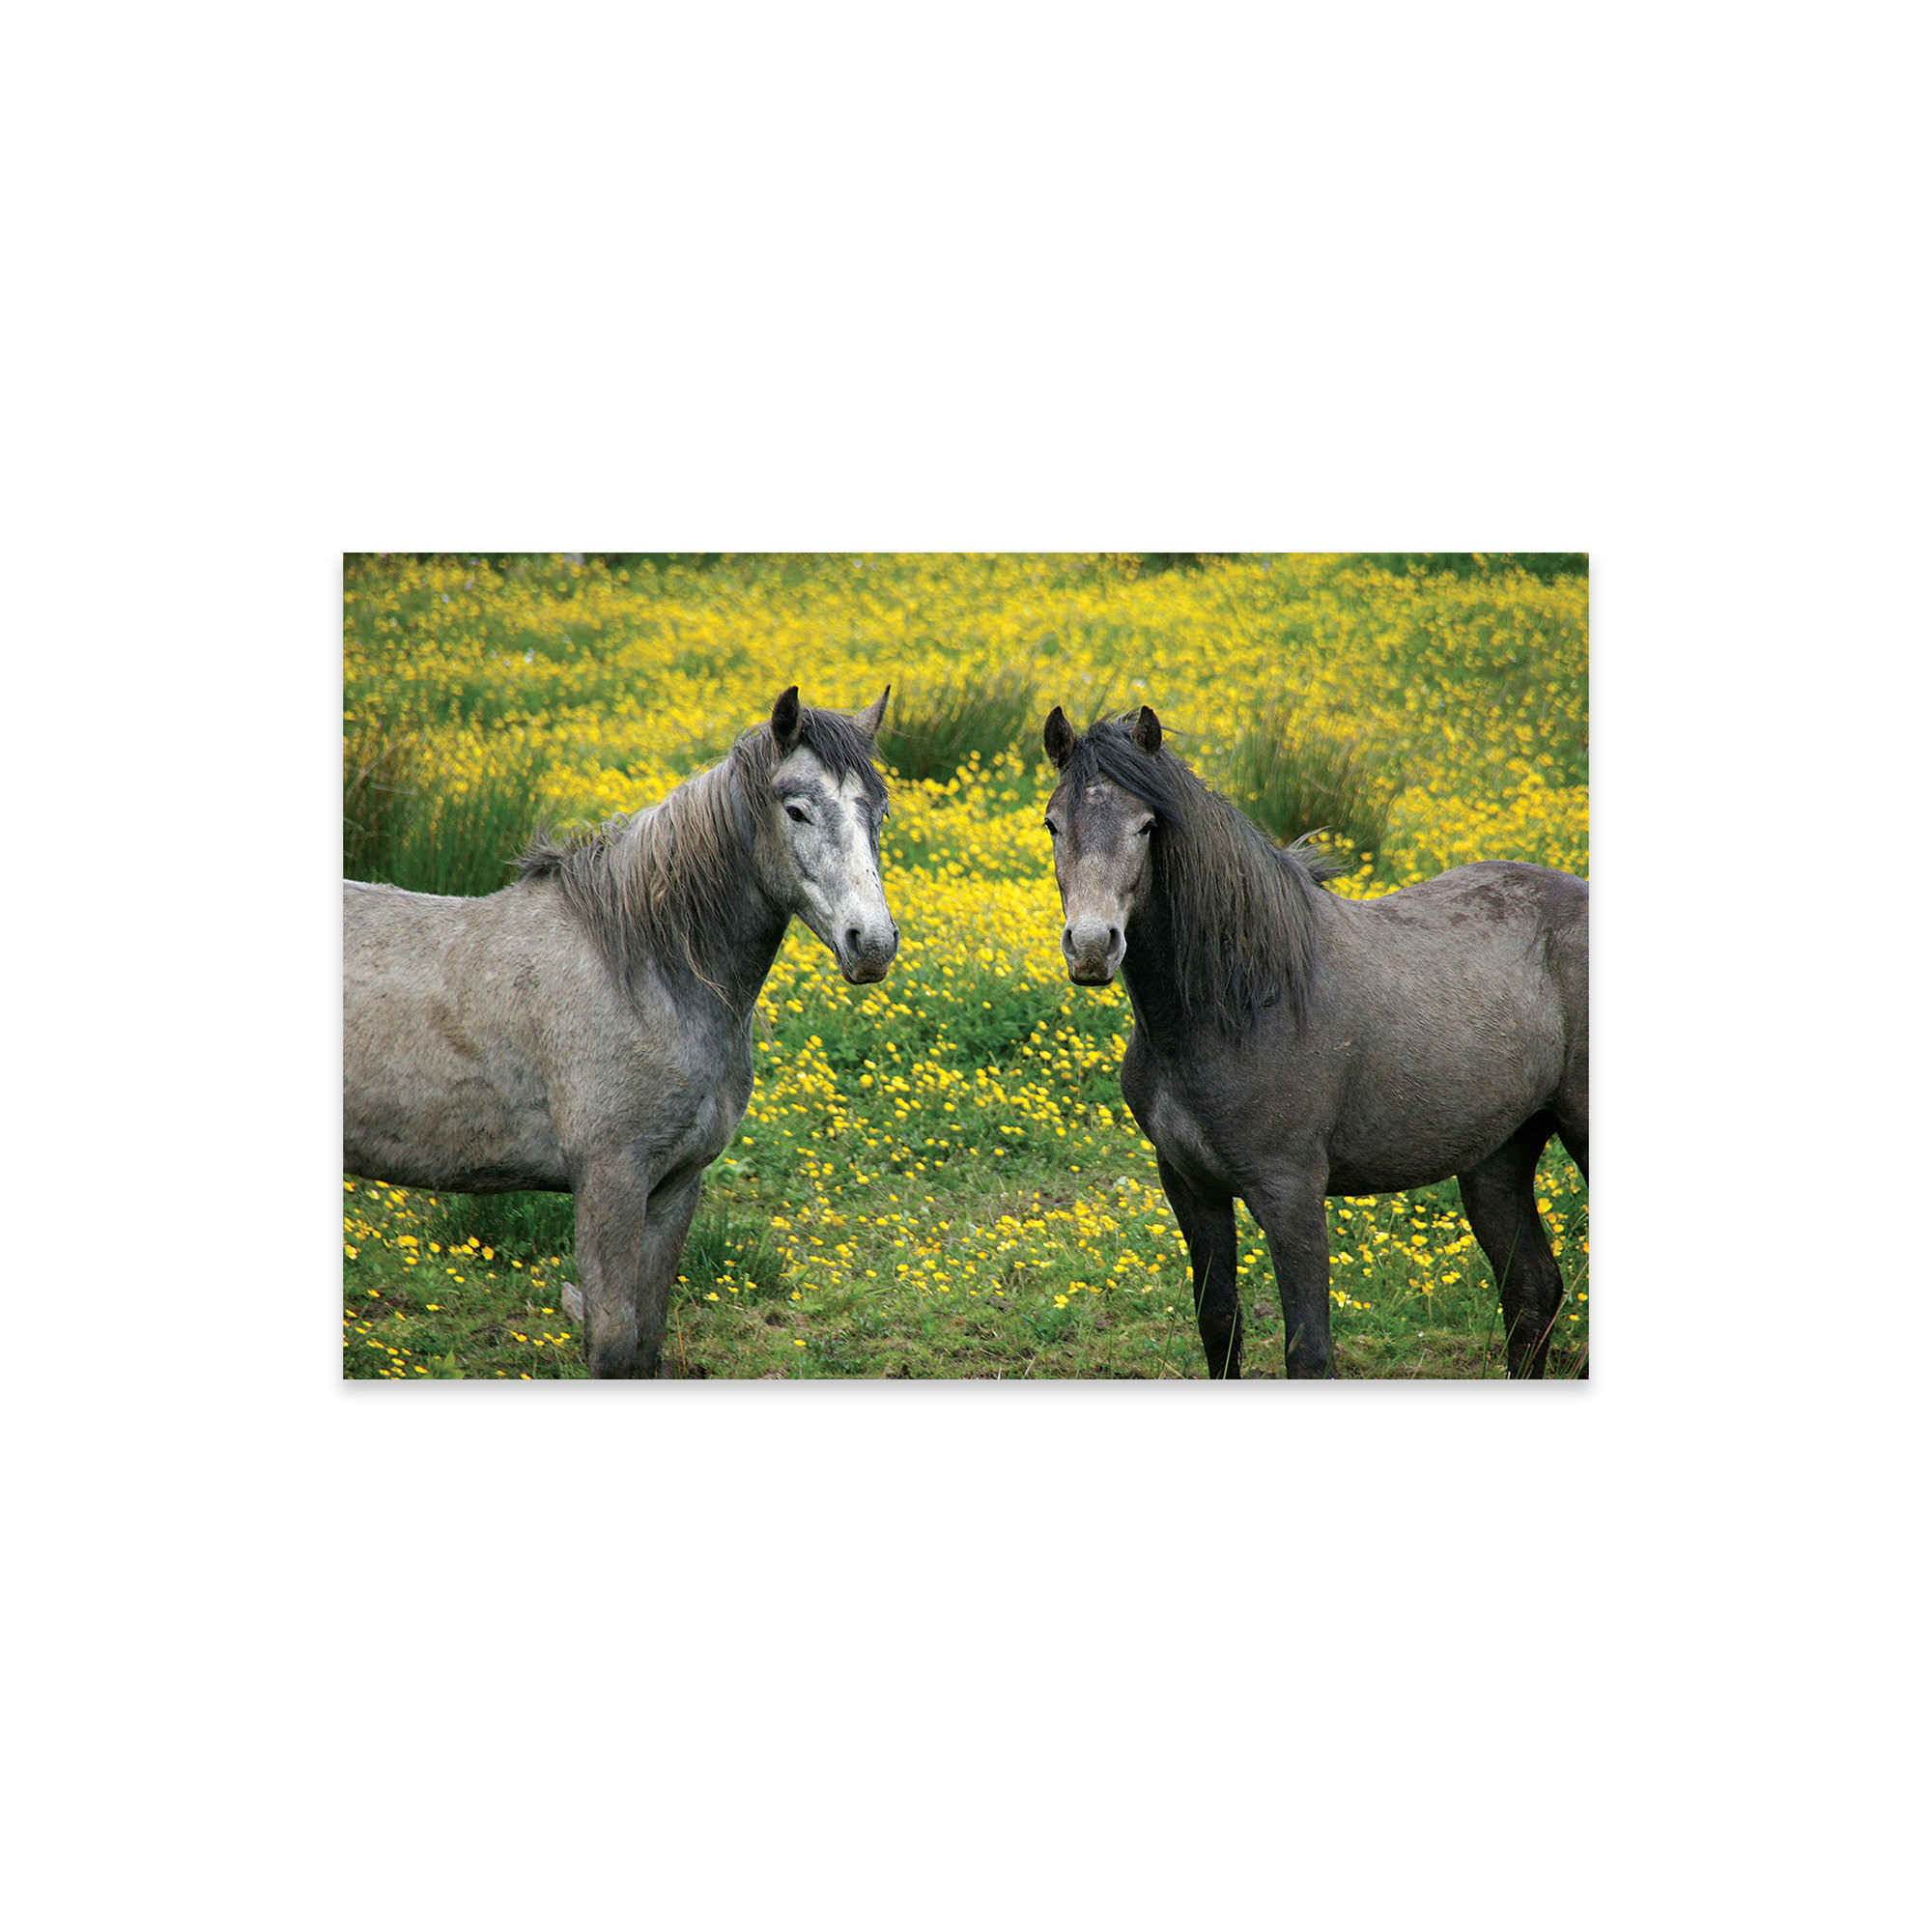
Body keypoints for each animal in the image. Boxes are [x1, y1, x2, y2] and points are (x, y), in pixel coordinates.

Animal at [344, 687, 898, 1378]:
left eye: (879, 810)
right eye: (796, 809)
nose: (871, 945)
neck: (643, 976)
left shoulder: (674, 1186)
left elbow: (646, 1337)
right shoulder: (609, 1181)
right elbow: (611, 1341)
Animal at [1041, 704, 1588, 1380]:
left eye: (1147, 827)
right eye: (1053, 824)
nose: (1092, 947)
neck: (1240, 1005)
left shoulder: (1290, 1193)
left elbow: (1309, 1349)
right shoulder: (1190, 1186)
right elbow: (1219, 1327)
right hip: (1499, 1155)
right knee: (1532, 1292)